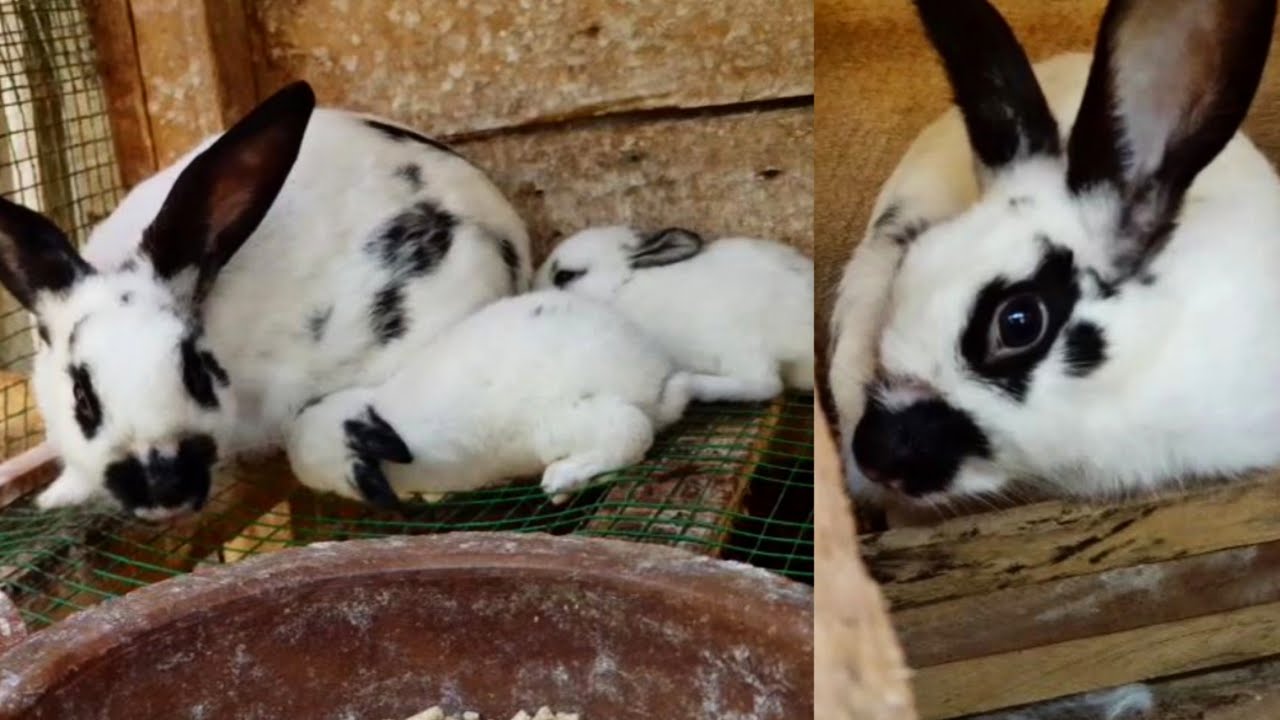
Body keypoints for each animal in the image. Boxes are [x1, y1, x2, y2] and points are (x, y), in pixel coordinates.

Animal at [284, 290, 696, 508]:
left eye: (312, 408)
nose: (299, 411)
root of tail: (654, 381)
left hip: (566, 423)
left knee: (631, 434)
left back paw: (559, 480)